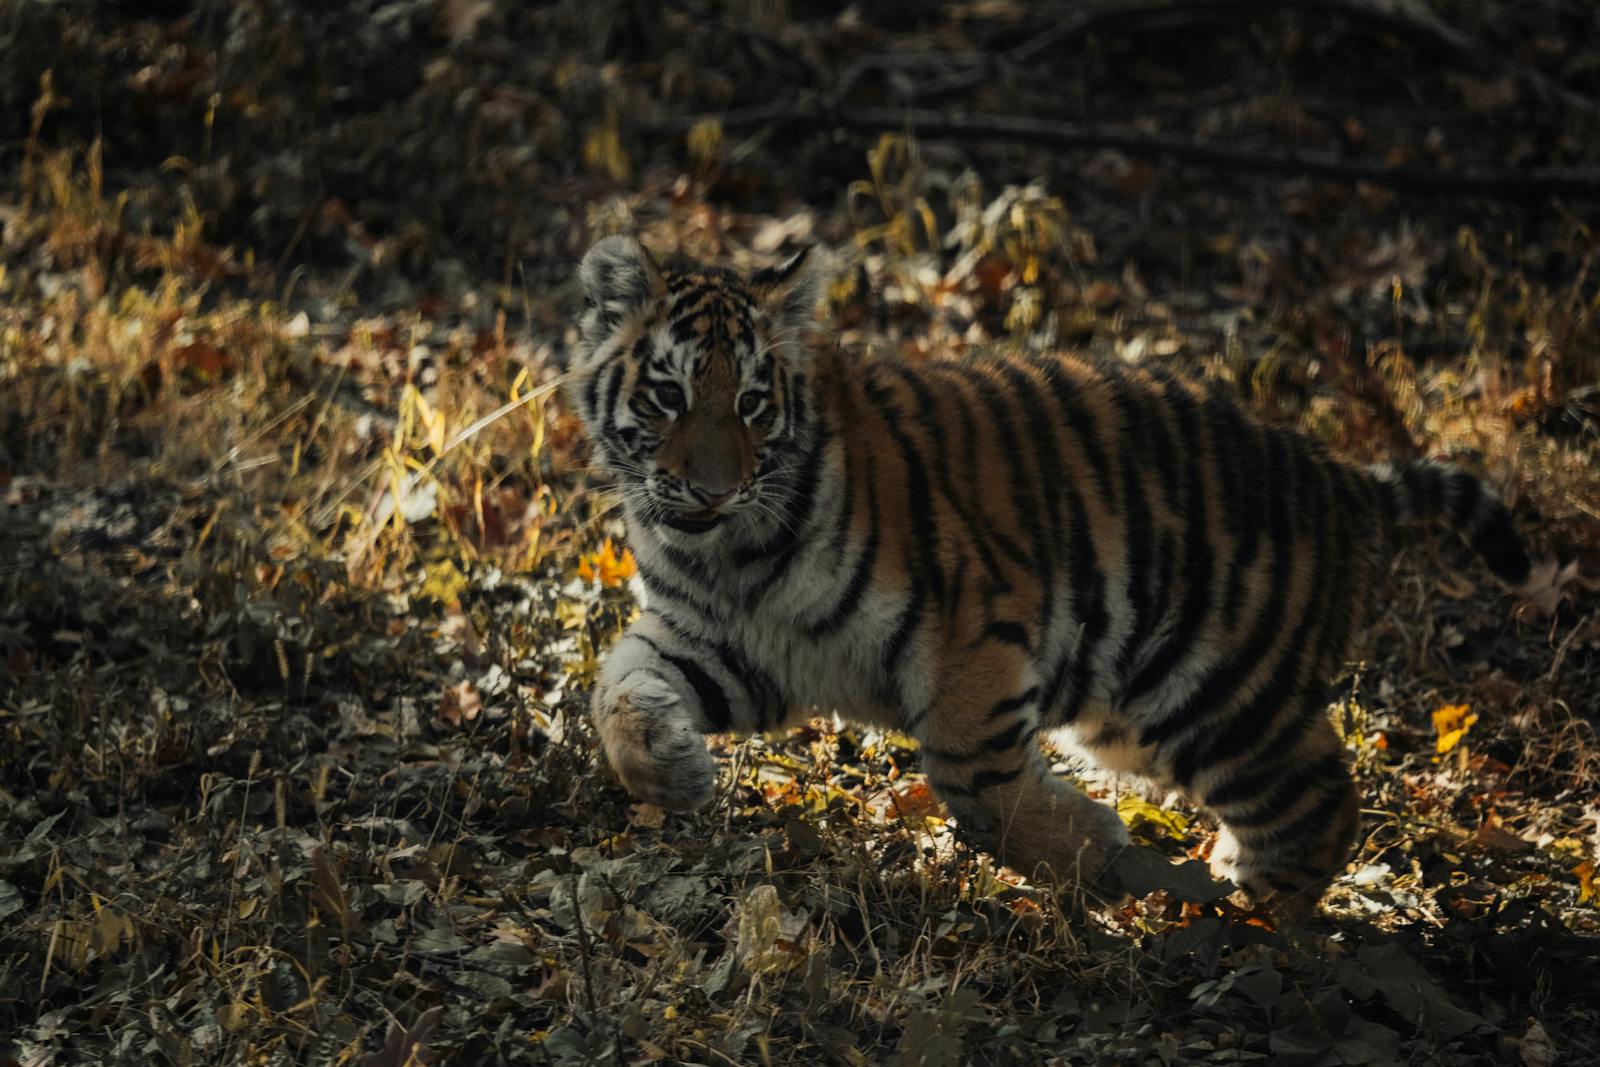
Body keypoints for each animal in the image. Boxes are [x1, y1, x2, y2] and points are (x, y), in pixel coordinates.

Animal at [567, 234, 1533, 911]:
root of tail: (1341, 476)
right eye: (668, 396)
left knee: (1323, 803)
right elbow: (614, 691)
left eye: (753, 403)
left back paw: (1240, 921)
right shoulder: (719, 641)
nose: (712, 487)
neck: (728, 556)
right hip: (1133, 714)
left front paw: (1088, 851)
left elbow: (972, 773)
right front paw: (674, 773)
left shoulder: (971, 621)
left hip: (1217, 693)